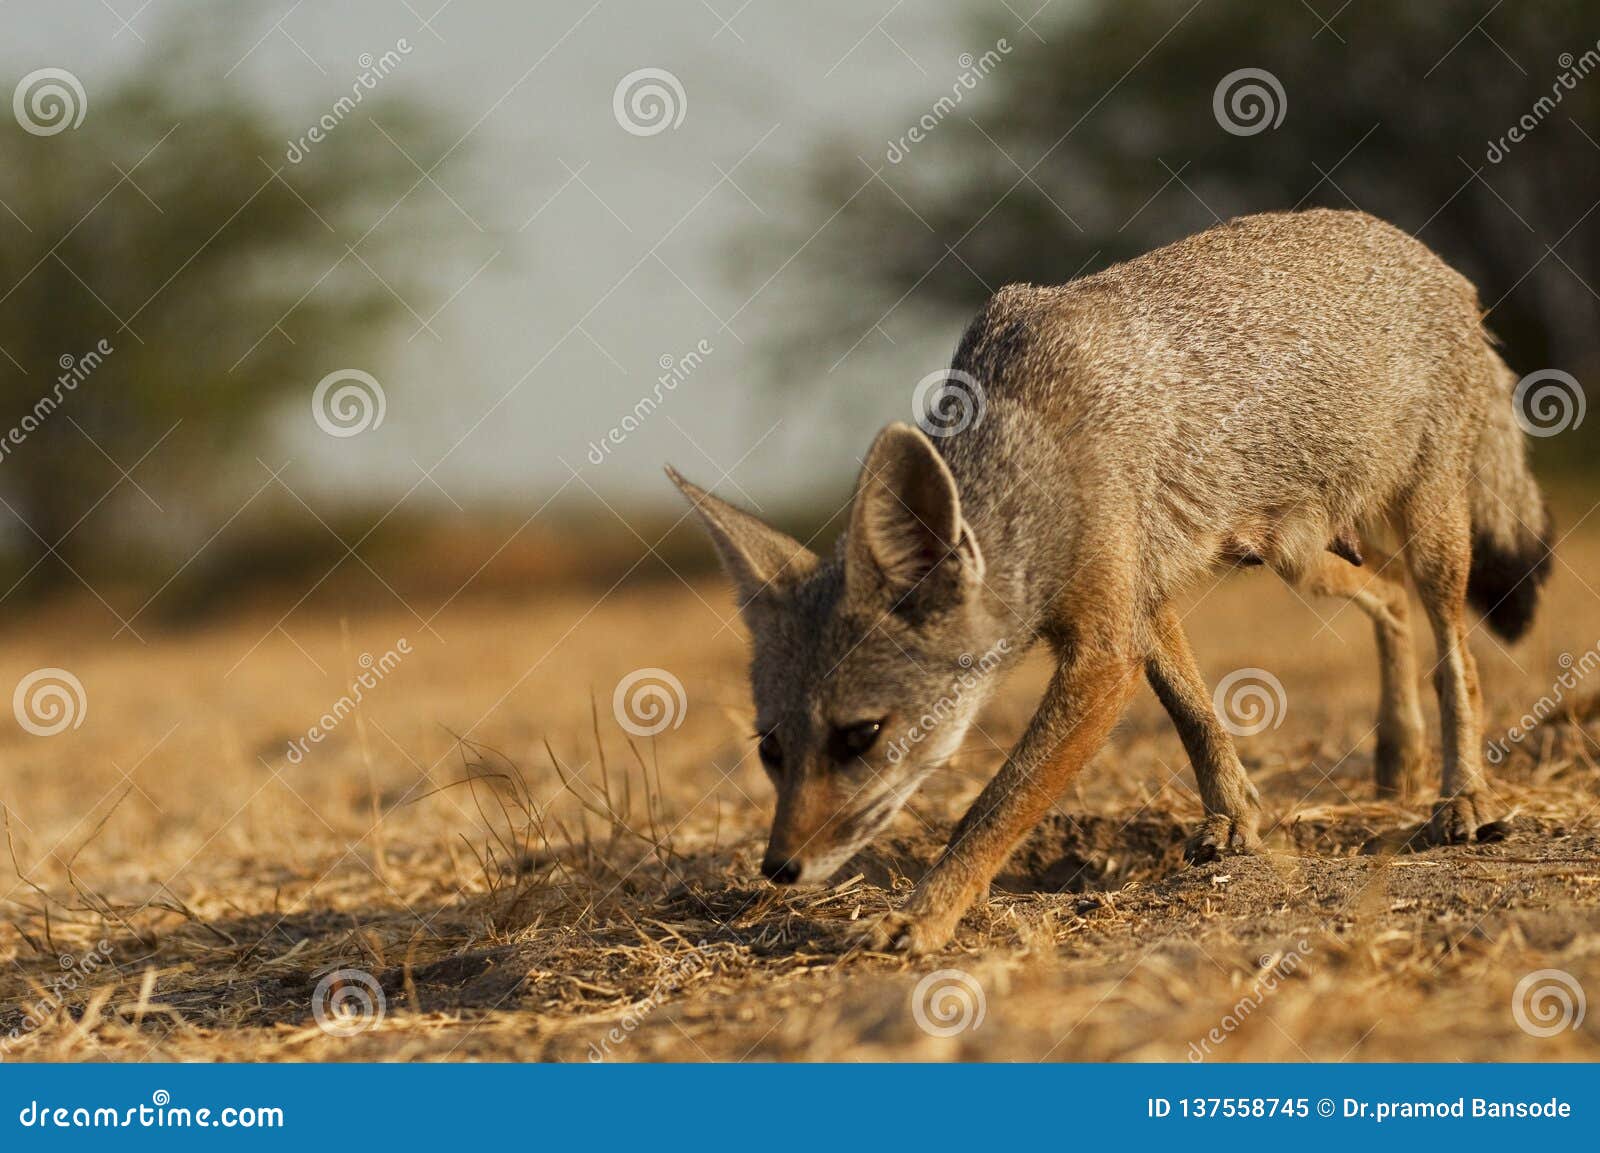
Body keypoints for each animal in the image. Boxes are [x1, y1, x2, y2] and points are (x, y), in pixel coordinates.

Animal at [668, 208, 1552, 956]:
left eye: (860, 736)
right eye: (771, 749)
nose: (778, 868)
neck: (1035, 441)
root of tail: (1431, 258)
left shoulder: (1102, 650)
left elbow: (993, 805)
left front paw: (924, 914)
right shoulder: (1141, 602)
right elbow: (1195, 713)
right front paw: (1233, 817)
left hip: (1430, 535)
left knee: (1455, 657)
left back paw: (1462, 794)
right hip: (1296, 555)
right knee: (1391, 602)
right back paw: (1397, 752)